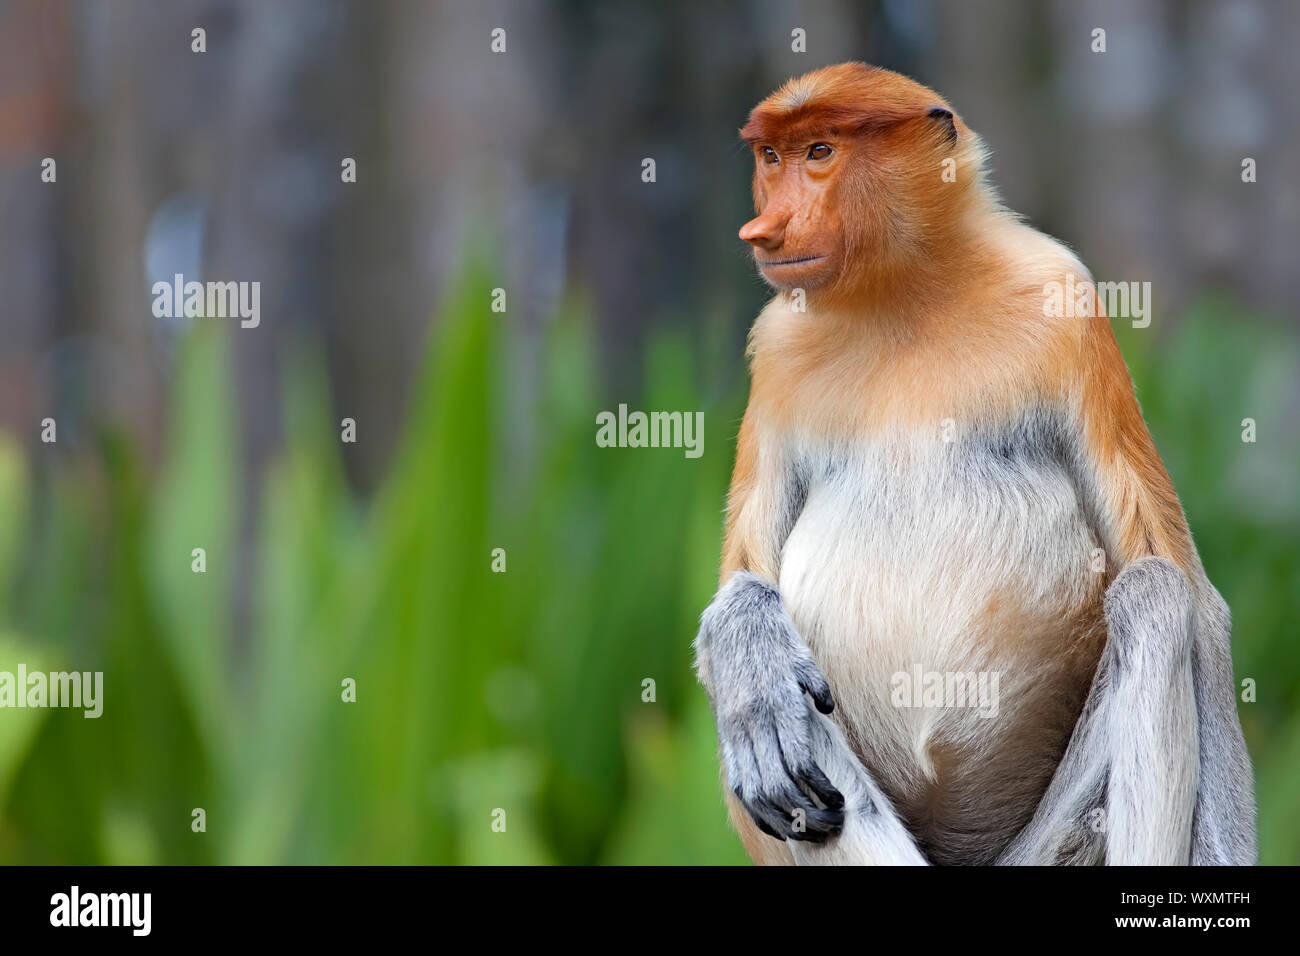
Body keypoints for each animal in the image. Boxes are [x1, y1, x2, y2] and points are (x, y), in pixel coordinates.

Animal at [693, 62, 1256, 866]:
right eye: (771, 158)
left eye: (820, 151)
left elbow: (1189, 593)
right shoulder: (774, 353)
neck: (905, 295)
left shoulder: (1066, 303)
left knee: (1153, 597)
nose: (763, 230)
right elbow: (740, 585)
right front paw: (750, 663)